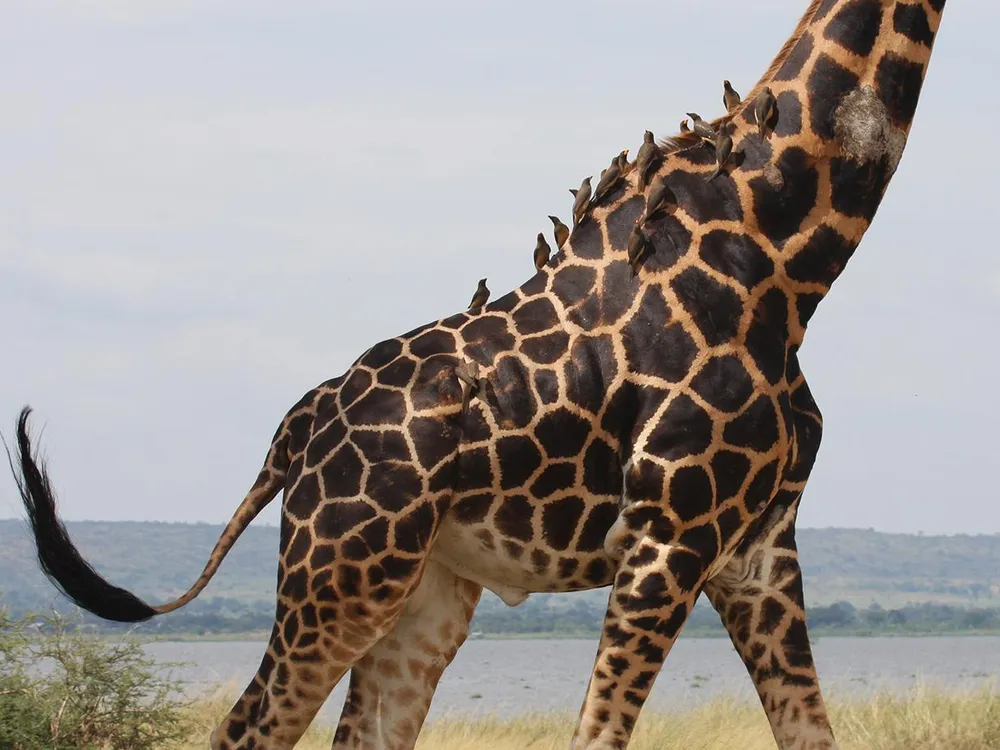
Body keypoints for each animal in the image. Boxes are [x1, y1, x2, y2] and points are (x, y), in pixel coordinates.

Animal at [8, 0, 947, 748]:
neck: (784, 256)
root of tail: (301, 423)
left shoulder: (757, 545)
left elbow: (810, 732)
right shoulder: (669, 533)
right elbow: (596, 736)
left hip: (423, 588)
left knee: (362, 733)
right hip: (337, 574)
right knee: (247, 727)